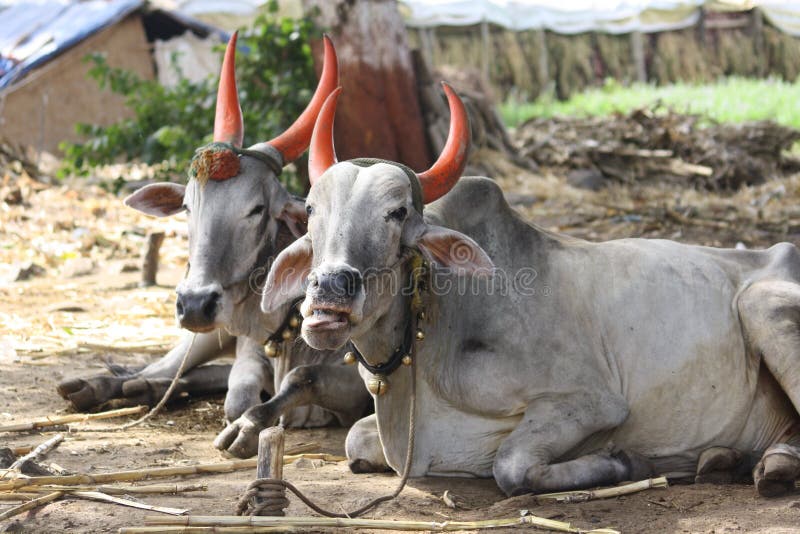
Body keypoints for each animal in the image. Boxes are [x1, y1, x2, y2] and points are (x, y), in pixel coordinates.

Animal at [57, 34, 371, 437]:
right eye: (187, 206)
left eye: (257, 209)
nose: (194, 303)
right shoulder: (246, 349)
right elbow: (236, 396)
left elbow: (298, 381)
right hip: (205, 335)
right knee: (165, 368)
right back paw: (99, 385)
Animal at [241, 83, 800, 497]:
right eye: (311, 210)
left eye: (397, 212)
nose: (329, 290)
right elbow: (355, 440)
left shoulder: (592, 401)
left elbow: (510, 468)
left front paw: (623, 462)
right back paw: (735, 460)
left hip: (762, 306)